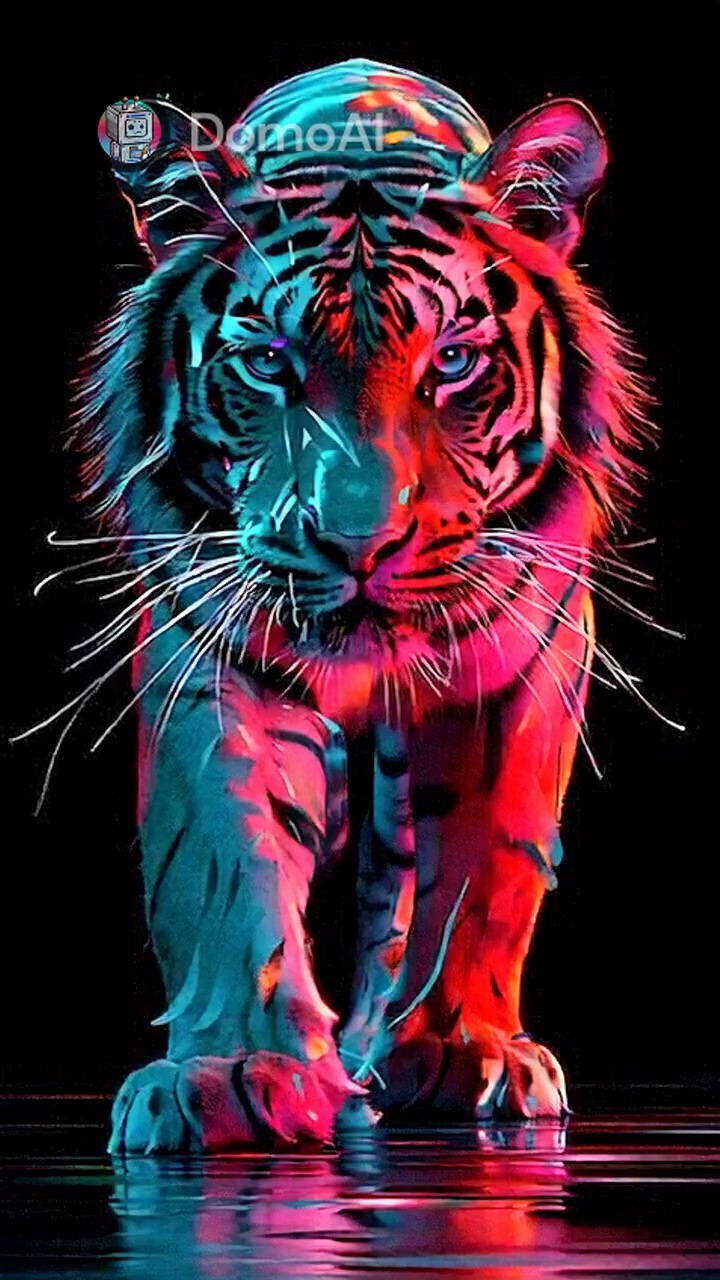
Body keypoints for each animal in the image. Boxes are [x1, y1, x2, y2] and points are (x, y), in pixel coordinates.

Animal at [79, 59, 649, 1153]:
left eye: (454, 361)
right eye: (269, 361)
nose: (358, 540)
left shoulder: (527, 655)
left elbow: (487, 862)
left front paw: (466, 1052)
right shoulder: (206, 643)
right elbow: (222, 851)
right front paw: (232, 1070)